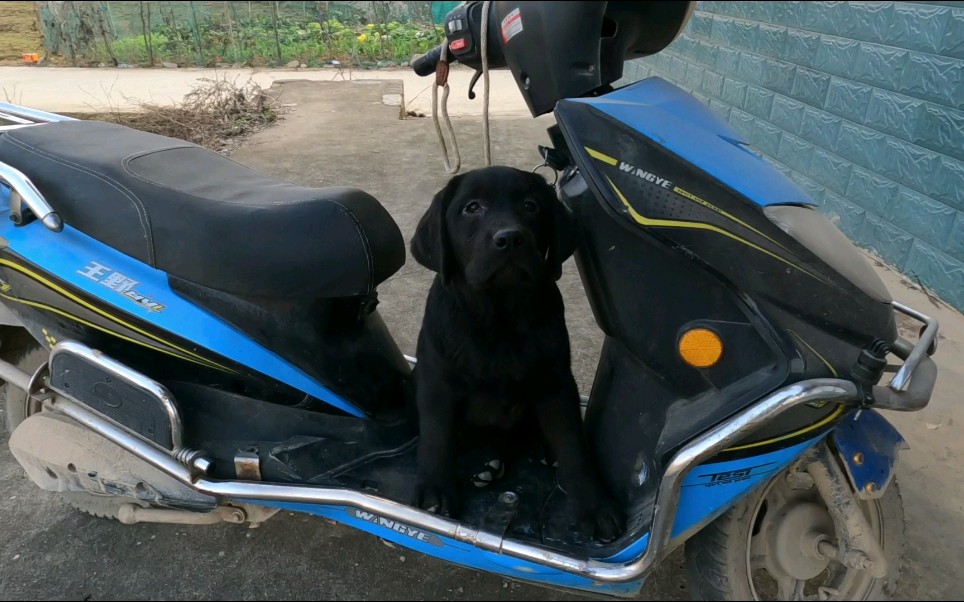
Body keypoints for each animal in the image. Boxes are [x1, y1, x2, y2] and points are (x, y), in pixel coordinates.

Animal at [410, 165, 620, 542]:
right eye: (472, 208)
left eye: (530, 206)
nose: (509, 238)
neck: (500, 317)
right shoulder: (437, 379)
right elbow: (436, 432)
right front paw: (434, 488)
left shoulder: (555, 382)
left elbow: (573, 445)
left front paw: (594, 506)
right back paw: (485, 462)